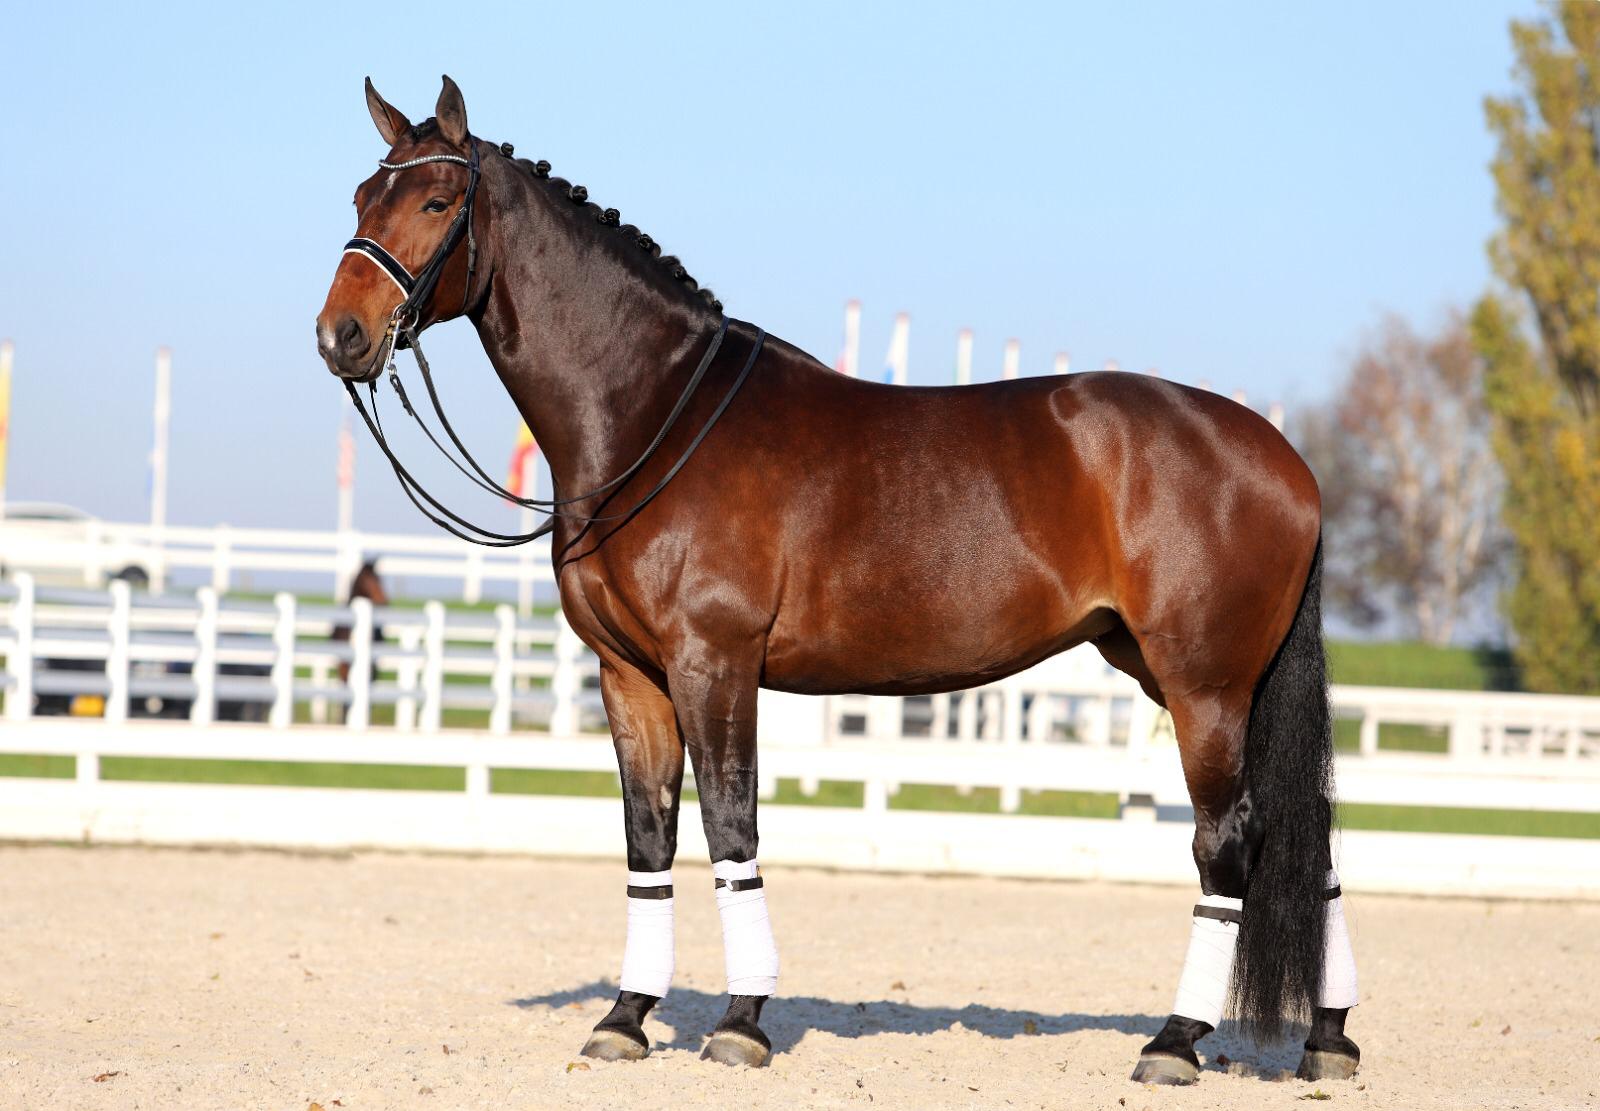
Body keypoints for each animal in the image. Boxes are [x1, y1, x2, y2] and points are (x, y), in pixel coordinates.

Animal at [315, 76, 1359, 1084]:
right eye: (362, 196)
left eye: (437, 200)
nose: (342, 336)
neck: (655, 411)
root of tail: (1285, 459)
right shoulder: (631, 675)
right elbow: (648, 838)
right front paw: (623, 1018)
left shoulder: (715, 664)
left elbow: (731, 826)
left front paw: (741, 1022)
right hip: (1187, 675)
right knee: (1309, 840)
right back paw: (1329, 1036)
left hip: (1203, 686)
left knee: (1229, 844)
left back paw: (1174, 1041)